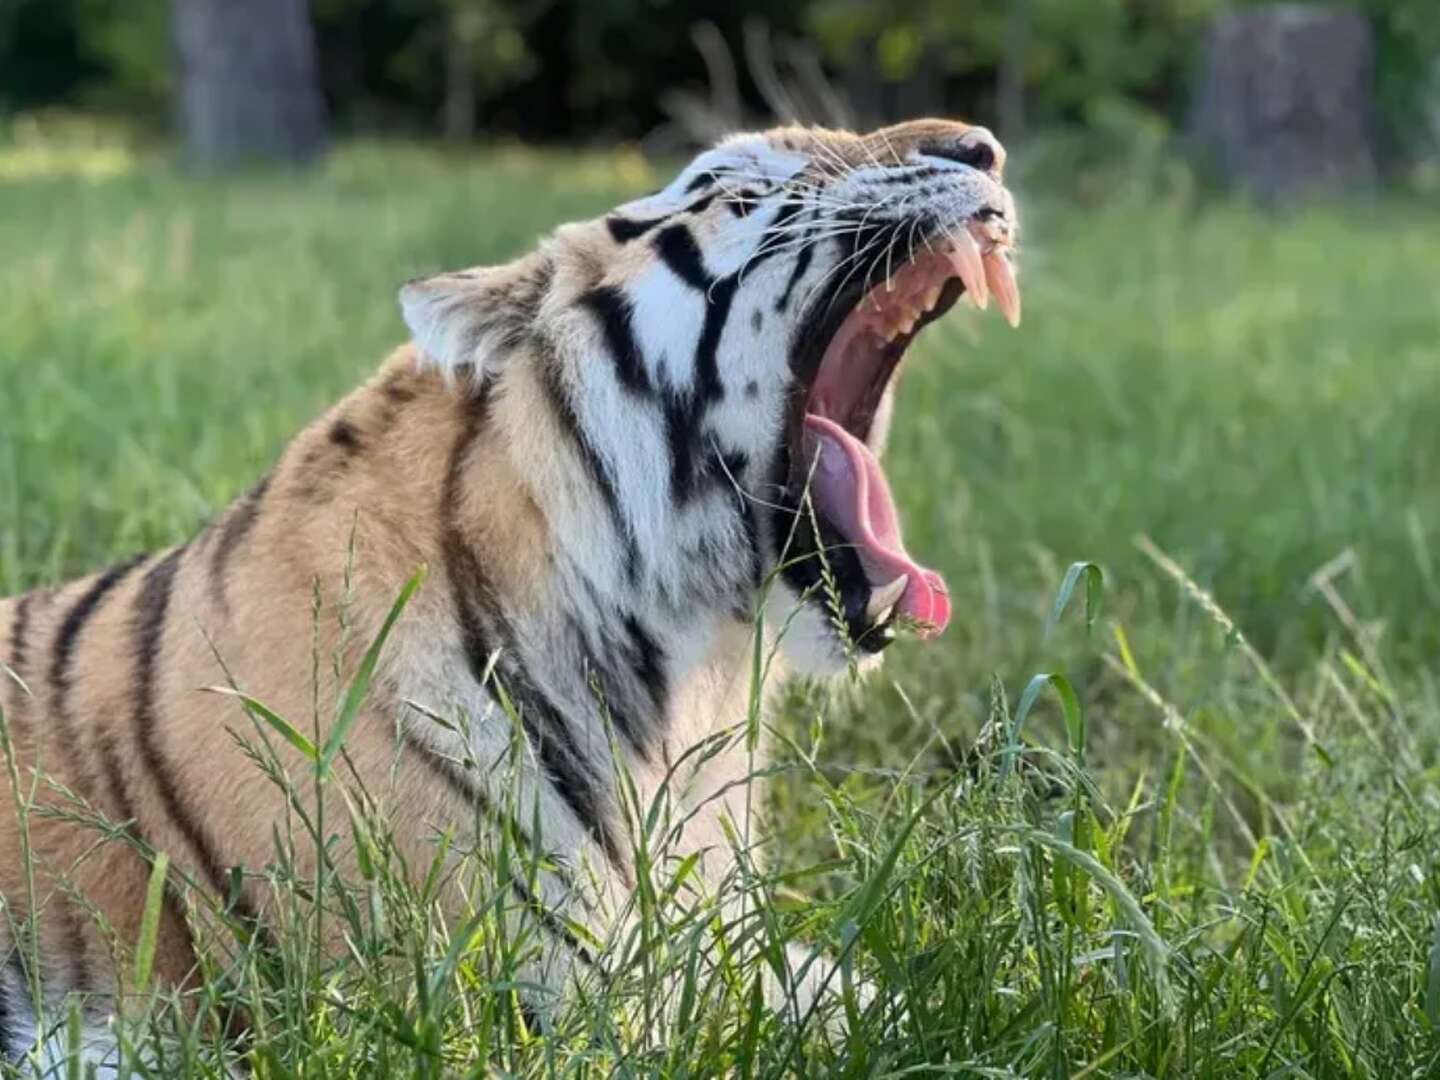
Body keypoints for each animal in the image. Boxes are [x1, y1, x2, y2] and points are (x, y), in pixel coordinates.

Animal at [0, 118, 1020, 1067]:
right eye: (734, 186)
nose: (983, 149)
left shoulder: (717, 938)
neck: (688, 679)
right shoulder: (507, 1005)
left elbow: (899, 997)